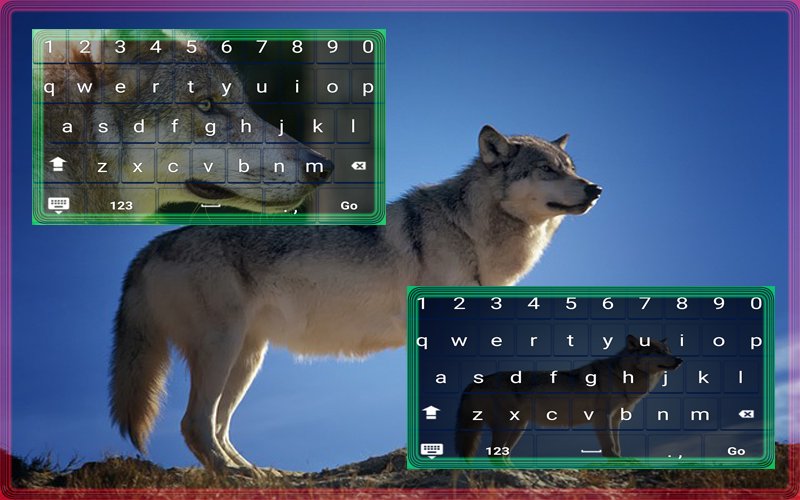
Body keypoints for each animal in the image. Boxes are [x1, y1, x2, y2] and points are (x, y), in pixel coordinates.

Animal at [109, 125, 602, 474]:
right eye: (548, 170)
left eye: (570, 166)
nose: (594, 188)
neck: (469, 232)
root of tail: (151, 246)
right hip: (223, 350)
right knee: (194, 423)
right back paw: (235, 476)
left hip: (247, 359)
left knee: (217, 426)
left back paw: (260, 472)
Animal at [455, 335, 683, 459]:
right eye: (657, 351)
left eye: (668, 350)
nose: (679, 360)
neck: (623, 377)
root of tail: (475, 381)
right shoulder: (602, 416)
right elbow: (609, 446)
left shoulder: (617, 418)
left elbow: (617, 445)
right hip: (507, 427)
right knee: (493, 454)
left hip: (518, 428)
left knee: (500, 454)